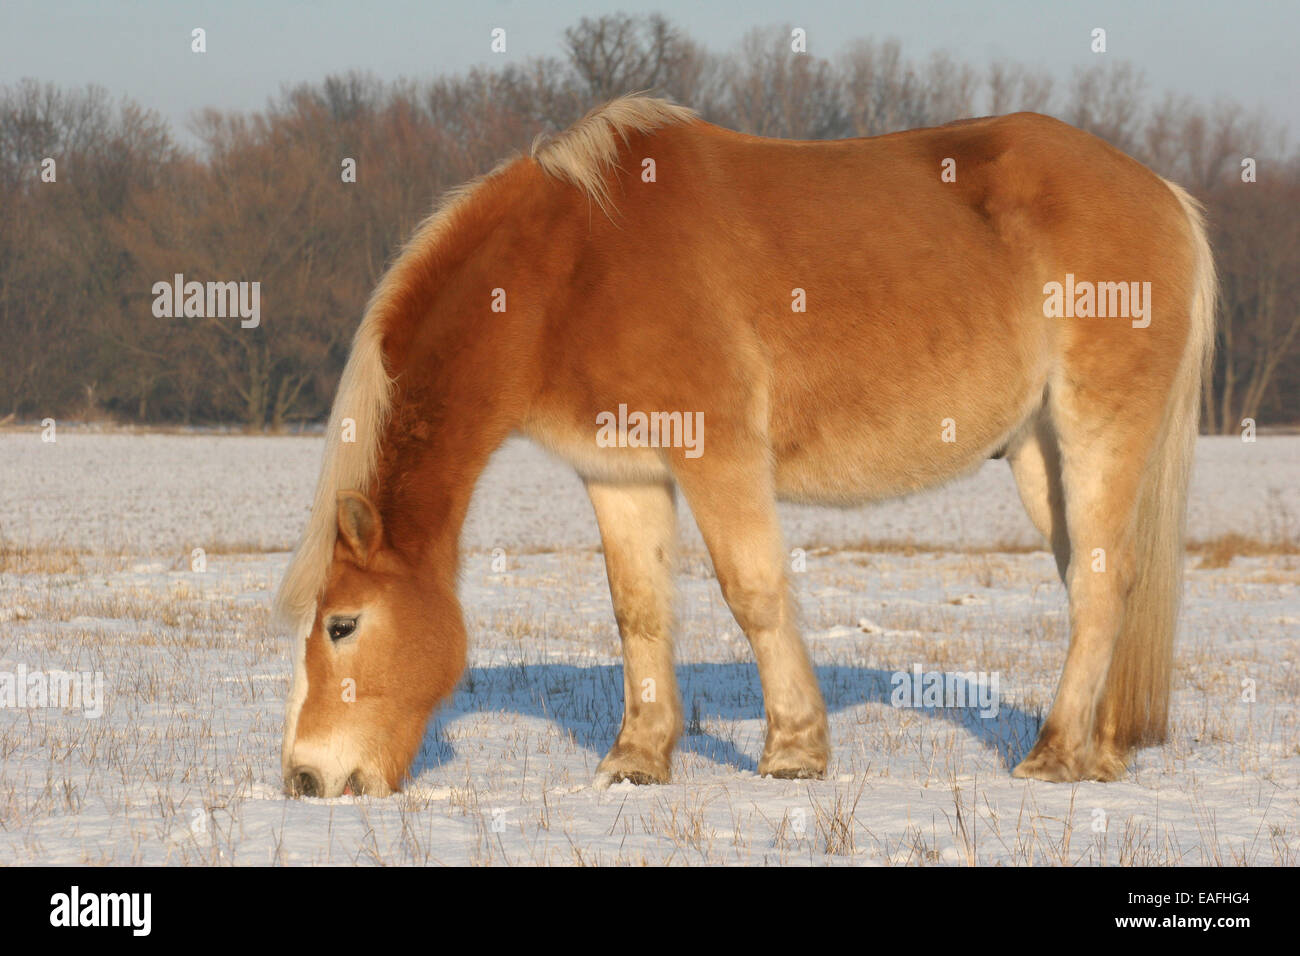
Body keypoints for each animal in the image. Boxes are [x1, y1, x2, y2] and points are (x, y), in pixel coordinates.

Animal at [275, 95, 1216, 798]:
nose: (305, 778)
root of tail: (1164, 194)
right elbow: (639, 610)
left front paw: (795, 751)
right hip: (1036, 452)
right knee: (1099, 580)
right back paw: (1098, 752)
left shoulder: (718, 454)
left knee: (1100, 584)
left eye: (343, 625)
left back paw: (1053, 755)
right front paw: (637, 759)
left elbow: (754, 592)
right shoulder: (619, 473)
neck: (571, 266)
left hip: (1095, 433)